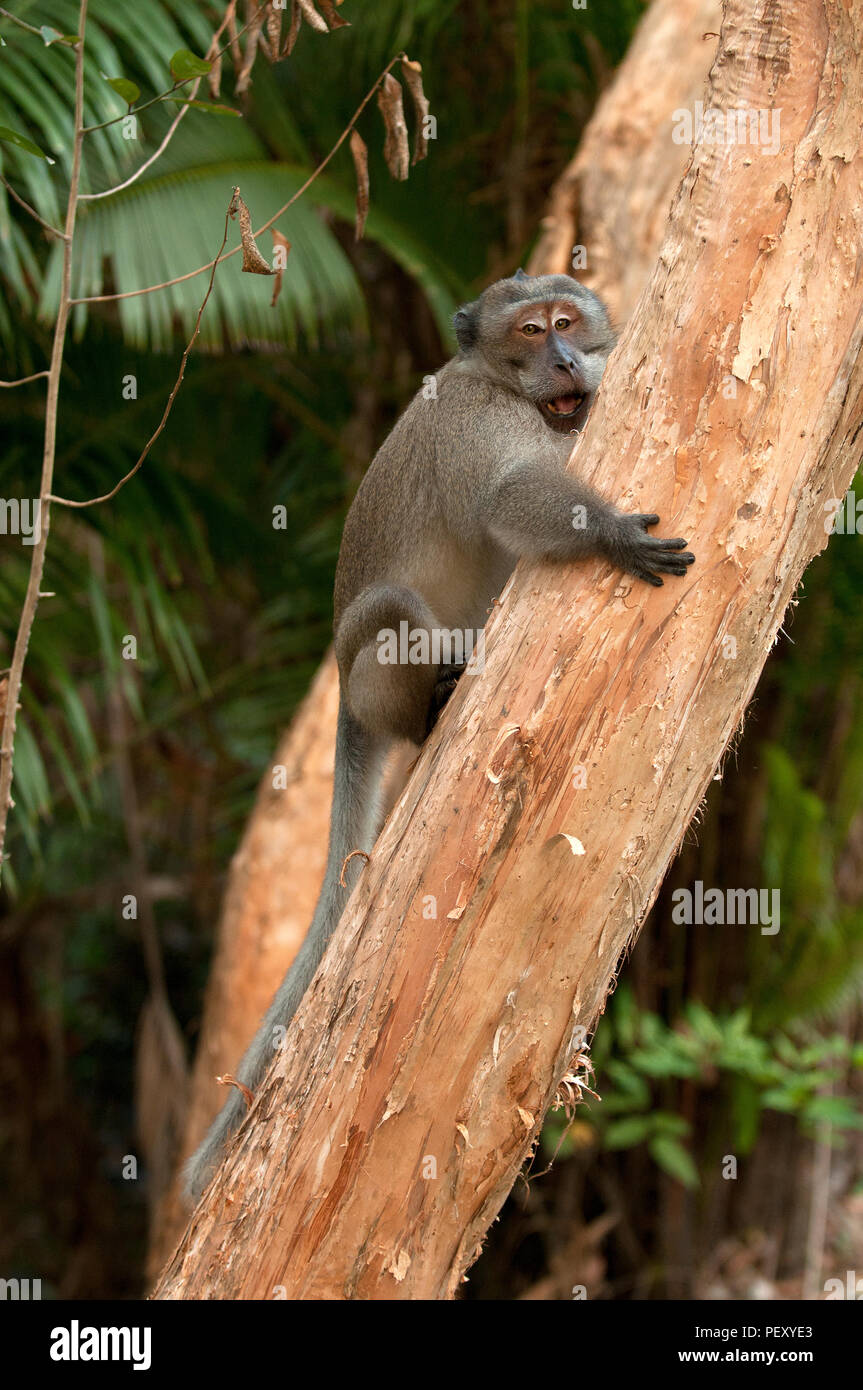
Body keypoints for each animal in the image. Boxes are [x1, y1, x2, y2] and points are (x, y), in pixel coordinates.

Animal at [183, 270, 694, 1202]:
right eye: (529, 331)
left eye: (566, 322)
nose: (565, 358)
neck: (506, 385)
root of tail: (350, 703)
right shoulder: (475, 419)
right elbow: (505, 496)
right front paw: (607, 532)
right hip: (368, 671)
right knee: (393, 615)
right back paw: (434, 699)